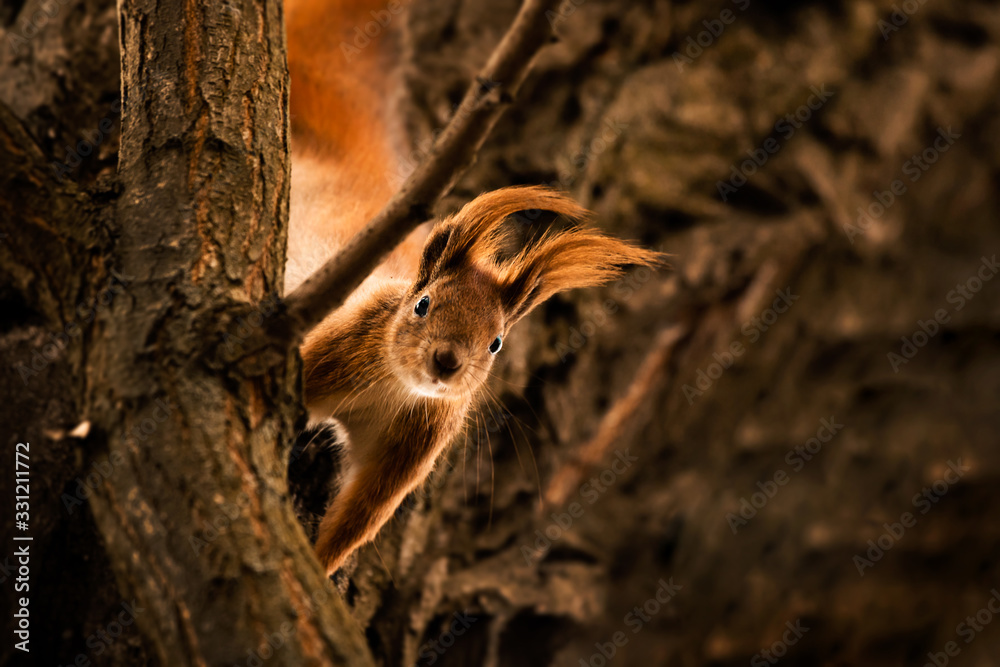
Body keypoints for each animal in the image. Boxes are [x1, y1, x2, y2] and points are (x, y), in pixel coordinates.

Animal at [285, 0, 665, 575]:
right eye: (421, 305)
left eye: (497, 342)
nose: (447, 362)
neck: (397, 386)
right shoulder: (340, 348)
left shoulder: (413, 443)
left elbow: (360, 514)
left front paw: (317, 566)